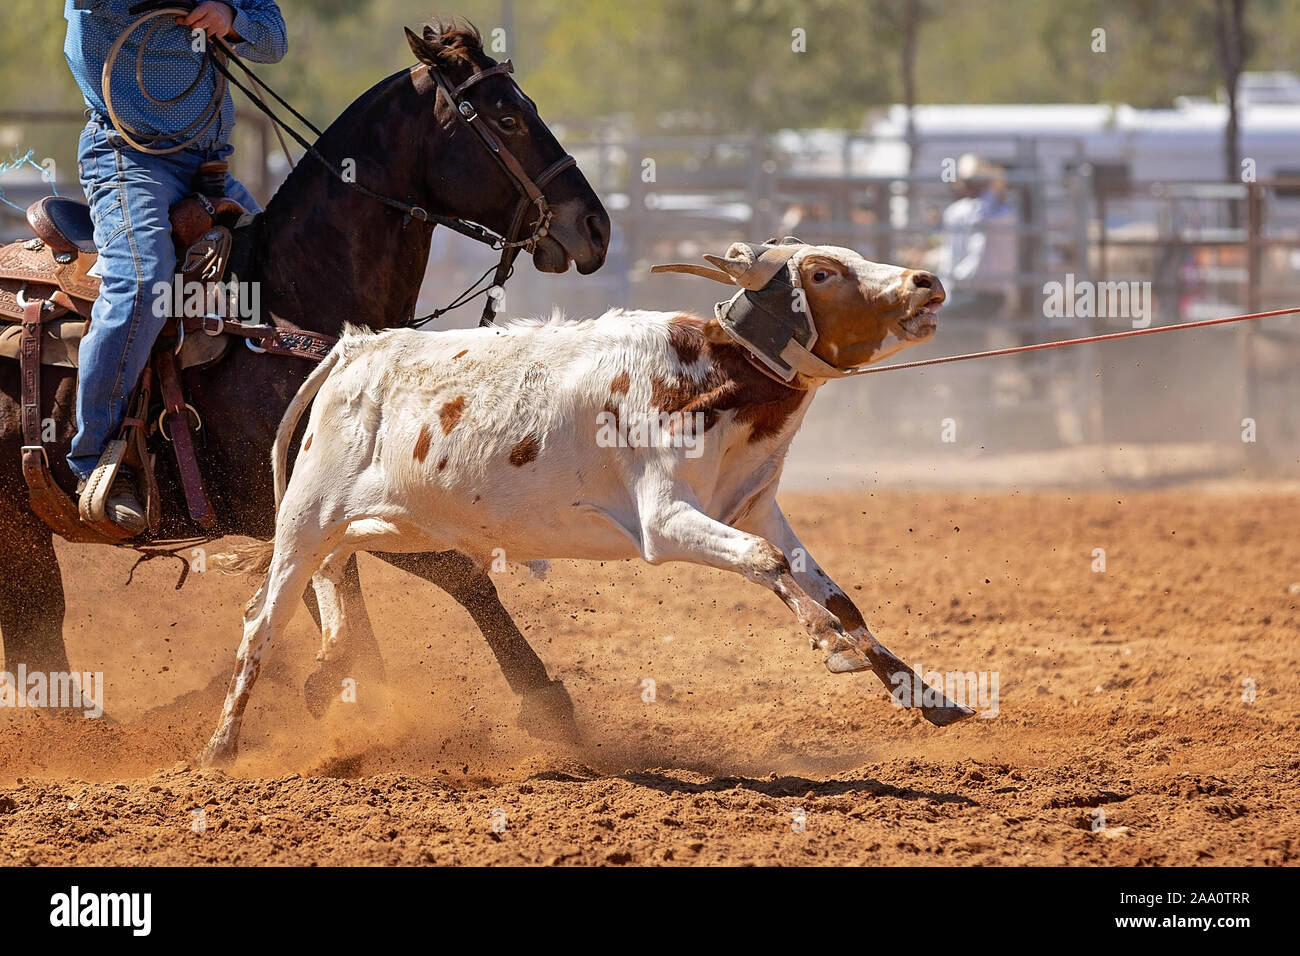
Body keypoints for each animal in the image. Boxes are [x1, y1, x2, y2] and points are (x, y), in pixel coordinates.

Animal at [200, 240, 974, 764]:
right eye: (820, 272)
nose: (926, 280)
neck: (709, 374)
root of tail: (353, 350)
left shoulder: (750, 506)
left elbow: (835, 593)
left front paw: (930, 697)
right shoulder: (667, 522)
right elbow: (765, 563)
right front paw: (828, 644)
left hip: (384, 526)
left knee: (336, 583)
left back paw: (330, 670)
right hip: (306, 520)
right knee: (261, 622)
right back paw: (222, 746)